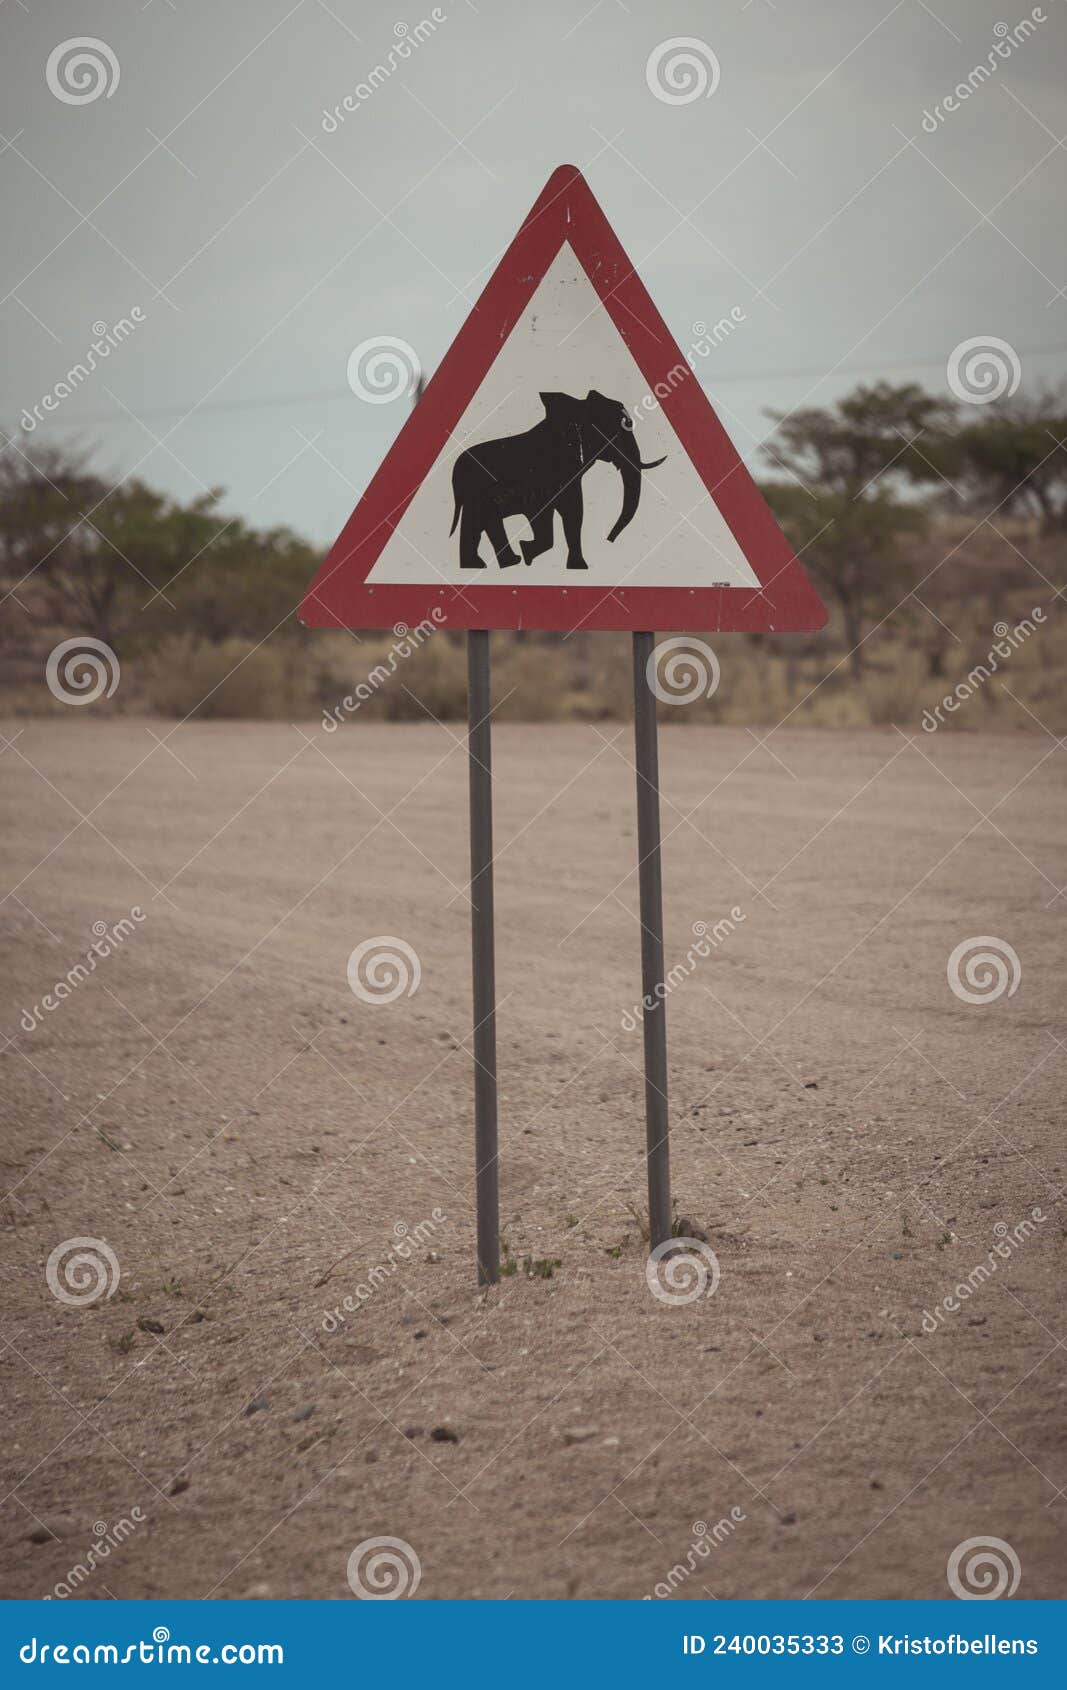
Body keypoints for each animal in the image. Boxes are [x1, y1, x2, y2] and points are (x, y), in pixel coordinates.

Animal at [448, 389, 666, 570]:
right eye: (622, 426)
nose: (609, 539)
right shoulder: (538, 480)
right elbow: (548, 515)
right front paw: (527, 552)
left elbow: (574, 514)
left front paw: (577, 568)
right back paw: (506, 563)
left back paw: (480, 565)